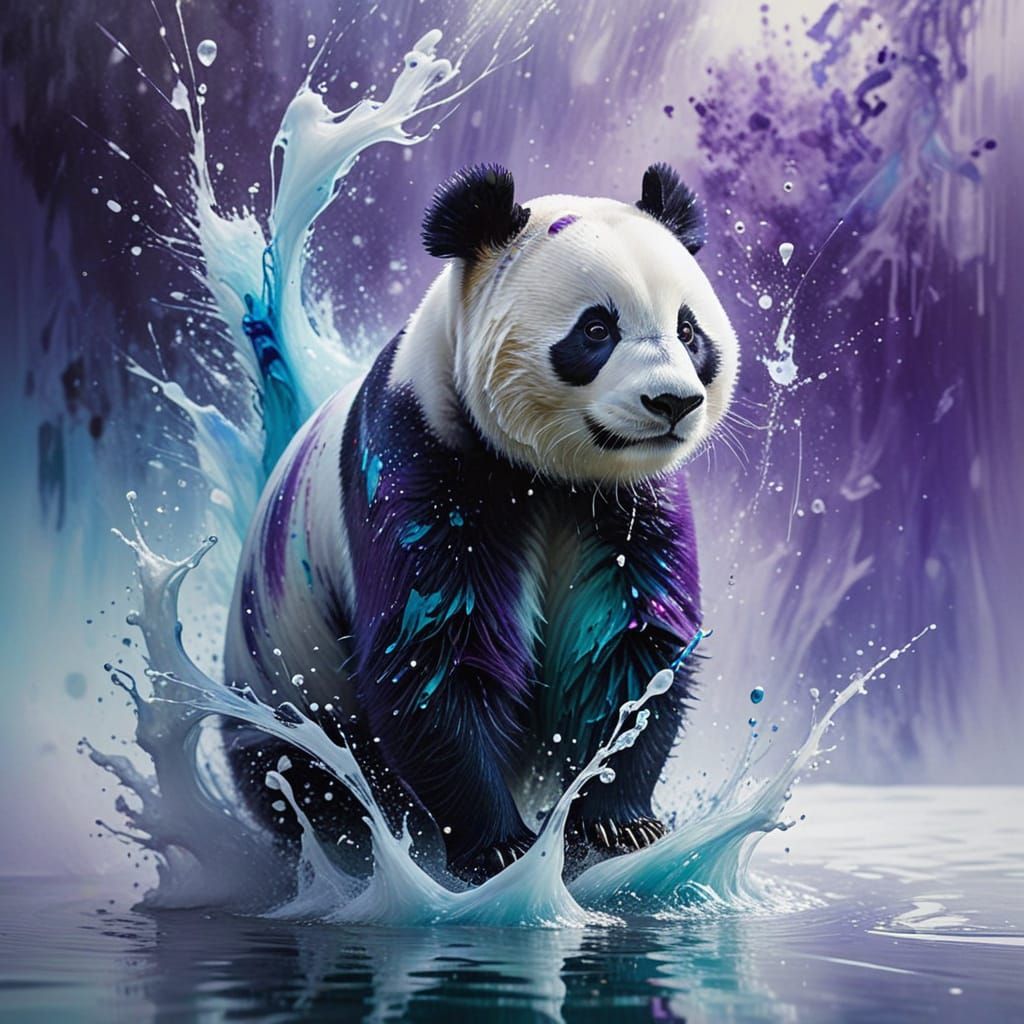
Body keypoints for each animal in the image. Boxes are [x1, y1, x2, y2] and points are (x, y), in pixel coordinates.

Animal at [223, 163, 739, 882]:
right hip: (282, 673)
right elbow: (433, 651)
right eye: (596, 331)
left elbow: (634, 644)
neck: (551, 476)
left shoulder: (629, 505)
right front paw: (499, 847)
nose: (672, 402)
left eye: (689, 331)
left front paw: (619, 824)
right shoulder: (424, 460)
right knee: (297, 774)